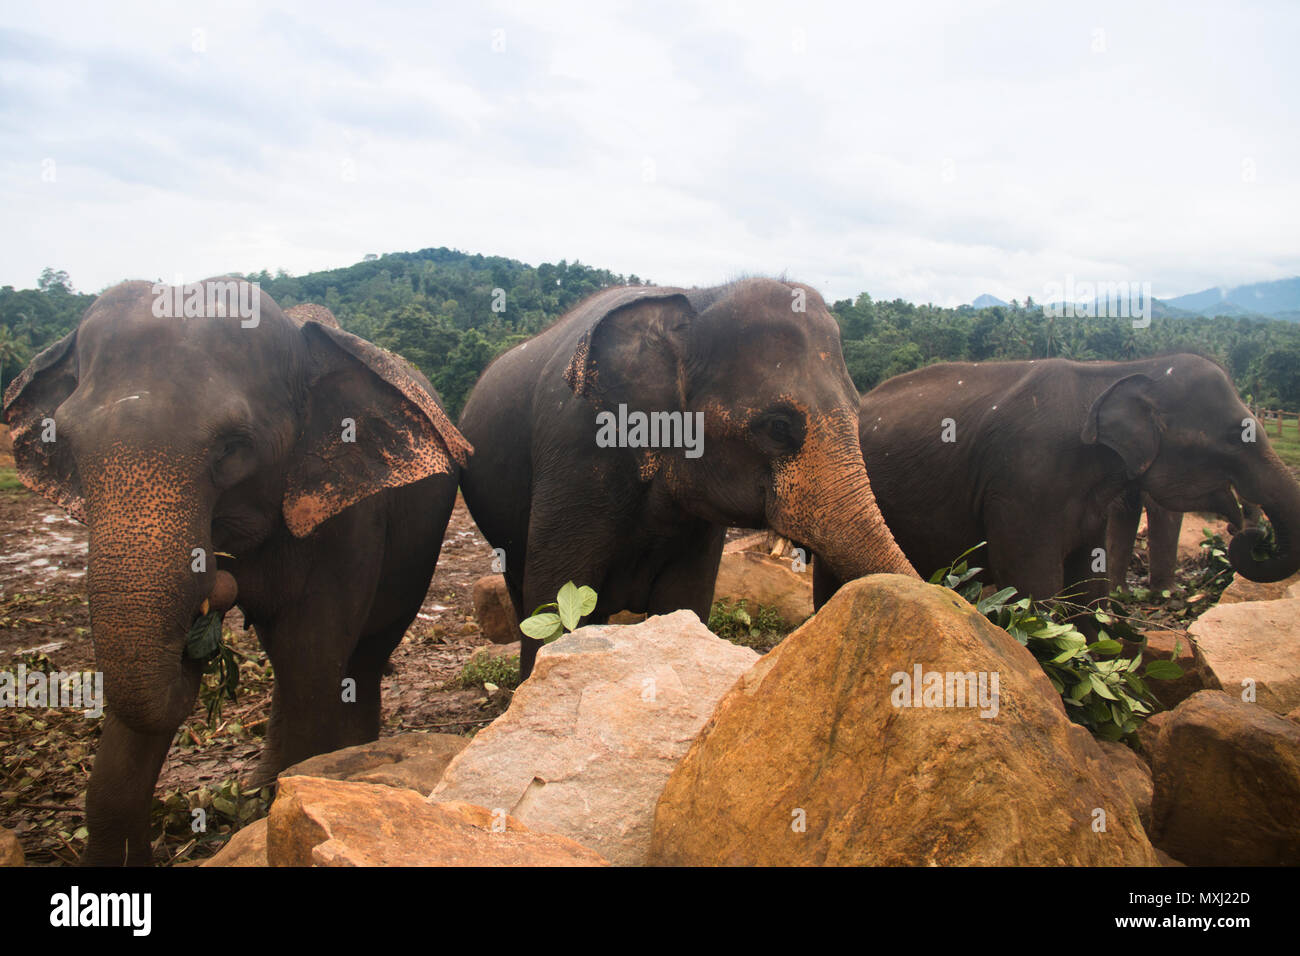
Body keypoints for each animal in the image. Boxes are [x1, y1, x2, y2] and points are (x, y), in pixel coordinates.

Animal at [3, 279, 470, 865]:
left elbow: (308, 653)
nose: (216, 592)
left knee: (363, 651)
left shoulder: (349, 514)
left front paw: (286, 798)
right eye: (64, 444)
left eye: (232, 448)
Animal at [812, 354, 1300, 619]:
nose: (1249, 536)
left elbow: (1089, 582)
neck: (1117, 371)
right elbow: (1032, 583)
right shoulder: (1022, 484)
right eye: (1237, 437)